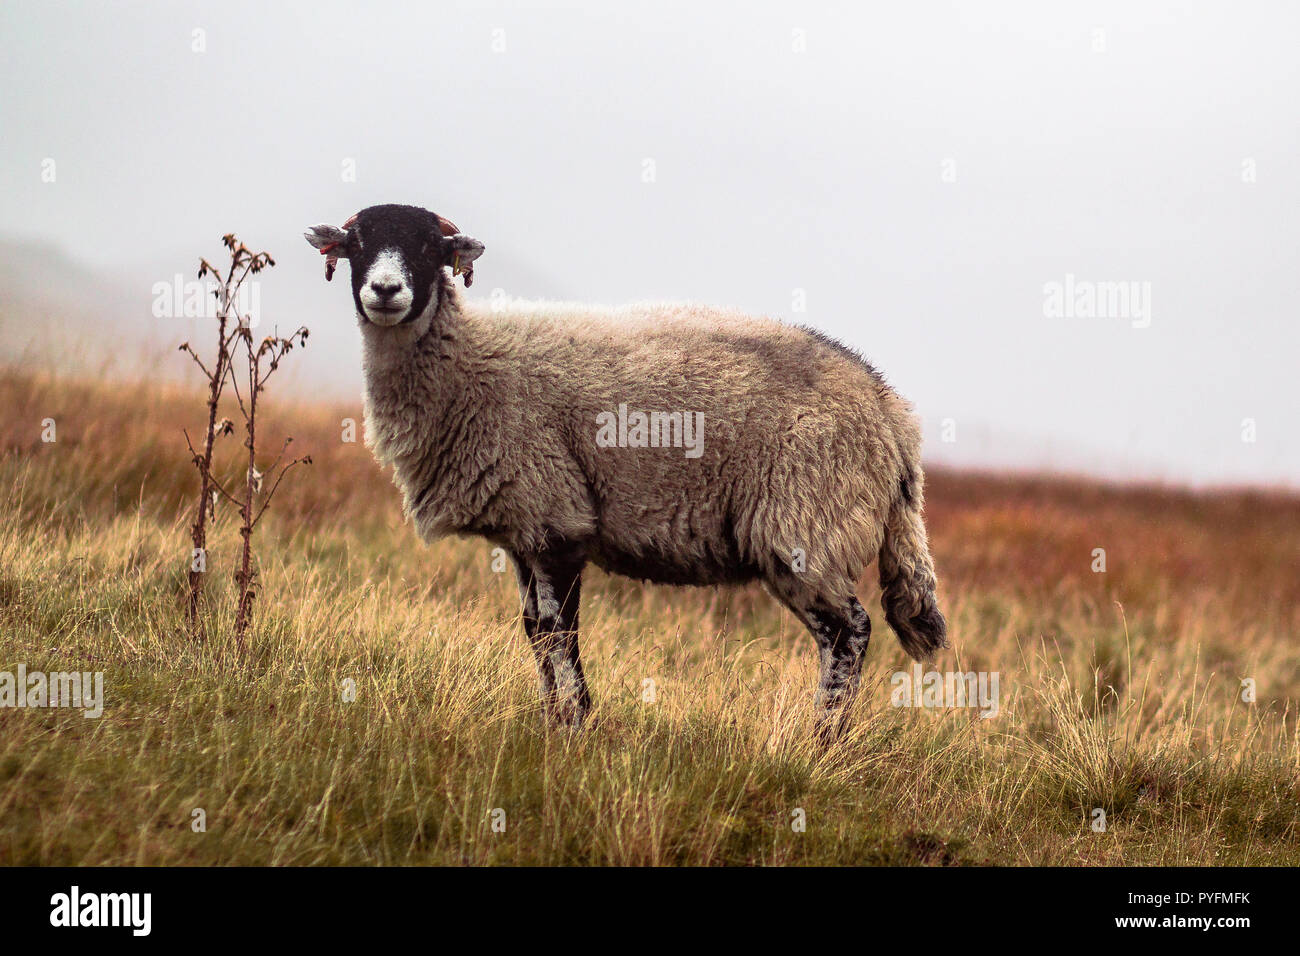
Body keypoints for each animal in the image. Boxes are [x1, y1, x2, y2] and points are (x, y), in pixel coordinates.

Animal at [305, 203, 948, 734]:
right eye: (357, 243)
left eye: (427, 248)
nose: (385, 291)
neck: (472, 364)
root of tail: (894, 413)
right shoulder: (524, 529)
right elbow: (533, 630)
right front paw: (553, 722)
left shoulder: (557, 518)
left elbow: (559, 632)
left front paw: (576, 724)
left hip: (806, 522)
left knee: (848, 633)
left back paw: (821, 744)